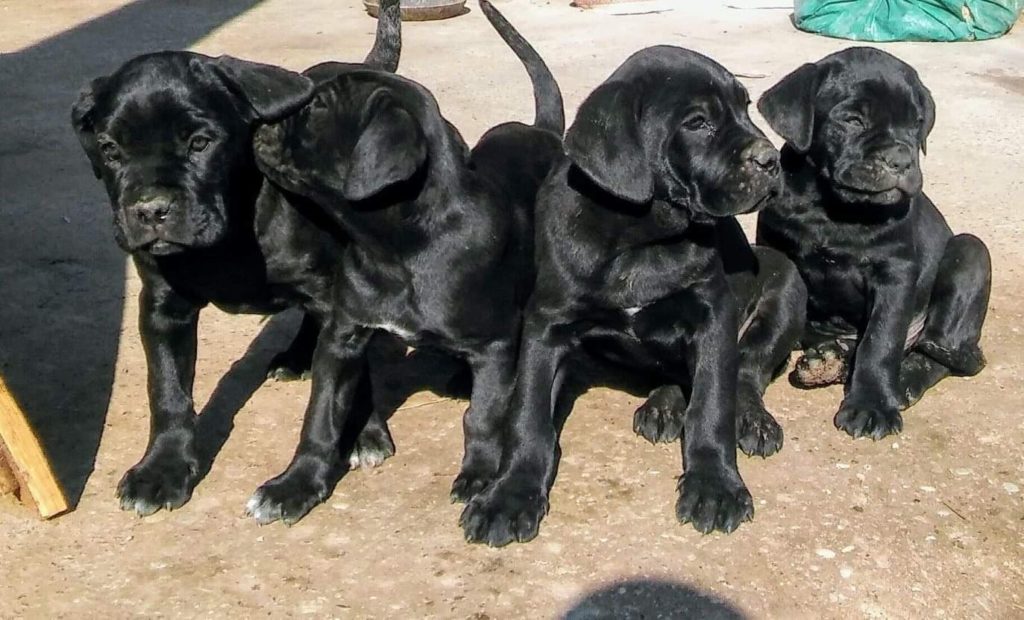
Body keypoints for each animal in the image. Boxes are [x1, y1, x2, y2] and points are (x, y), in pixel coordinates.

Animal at [68, 0, 401, 514]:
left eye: (200, 143)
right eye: (110, 149)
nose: (150, 210)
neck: (235, 227)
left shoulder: (338, 303)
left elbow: (333, 396)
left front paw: (355, 437)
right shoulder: (163, 307)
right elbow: (167, 391)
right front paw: (162, 469)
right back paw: (298, 357)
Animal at [245, 0, 569, 524]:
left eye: (317, 107)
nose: (256, 124)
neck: (395, 249)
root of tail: (542, 129)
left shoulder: (495, 344)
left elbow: (484, 417)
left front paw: (481, 475)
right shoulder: (342, 336)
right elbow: (320, 418)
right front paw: (293, 486)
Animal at [458, 44, 806, 545]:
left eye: (746, 108)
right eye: (697, 122)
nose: (771, 160)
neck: (641, 235)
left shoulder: (714, 316)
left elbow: (712, 405)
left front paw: (715, 487)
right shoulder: (546, 326)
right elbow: (528, 416)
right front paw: (509, 495)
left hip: (787, 283)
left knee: (746, 371)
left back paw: (750, 419)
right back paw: (663, 405)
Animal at [757, 47, 987, 440]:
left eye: (916, 123)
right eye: (852, 120)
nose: (901, 159)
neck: (833, 208)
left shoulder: (894, 273)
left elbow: (880, 341)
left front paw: (872, 405)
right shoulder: (777, 249)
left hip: (970, 253)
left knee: (937, 351)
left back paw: (903, 381)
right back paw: (827, 359)